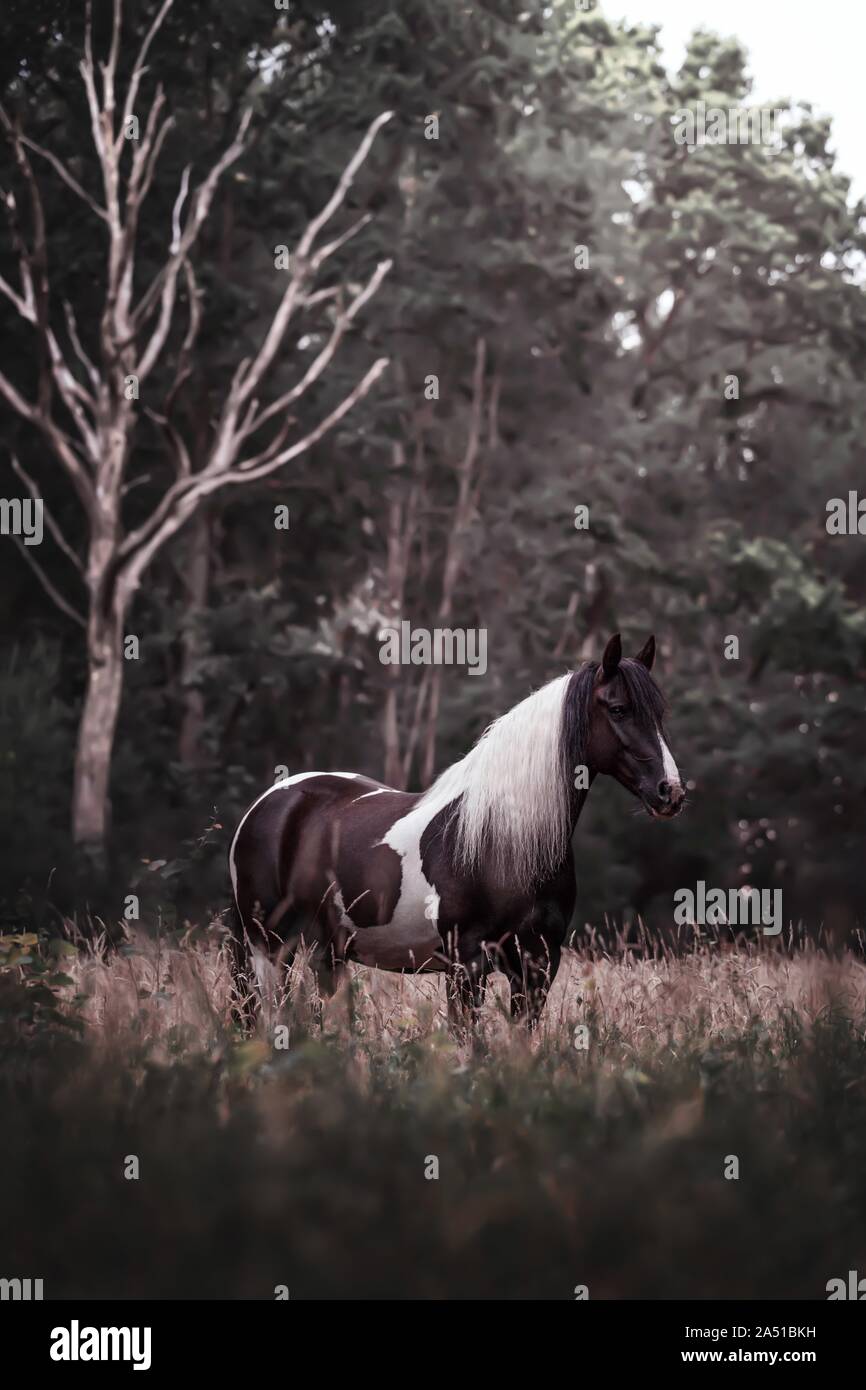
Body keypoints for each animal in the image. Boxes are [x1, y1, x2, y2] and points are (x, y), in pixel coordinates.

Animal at [227, 633, 685, 1030]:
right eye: (619, 709)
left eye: (661, 714)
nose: (671, 792)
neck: (506, 839)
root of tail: (270, 801)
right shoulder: (467, 961)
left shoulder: (537, 963)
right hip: (268, 948)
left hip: (326, 951)